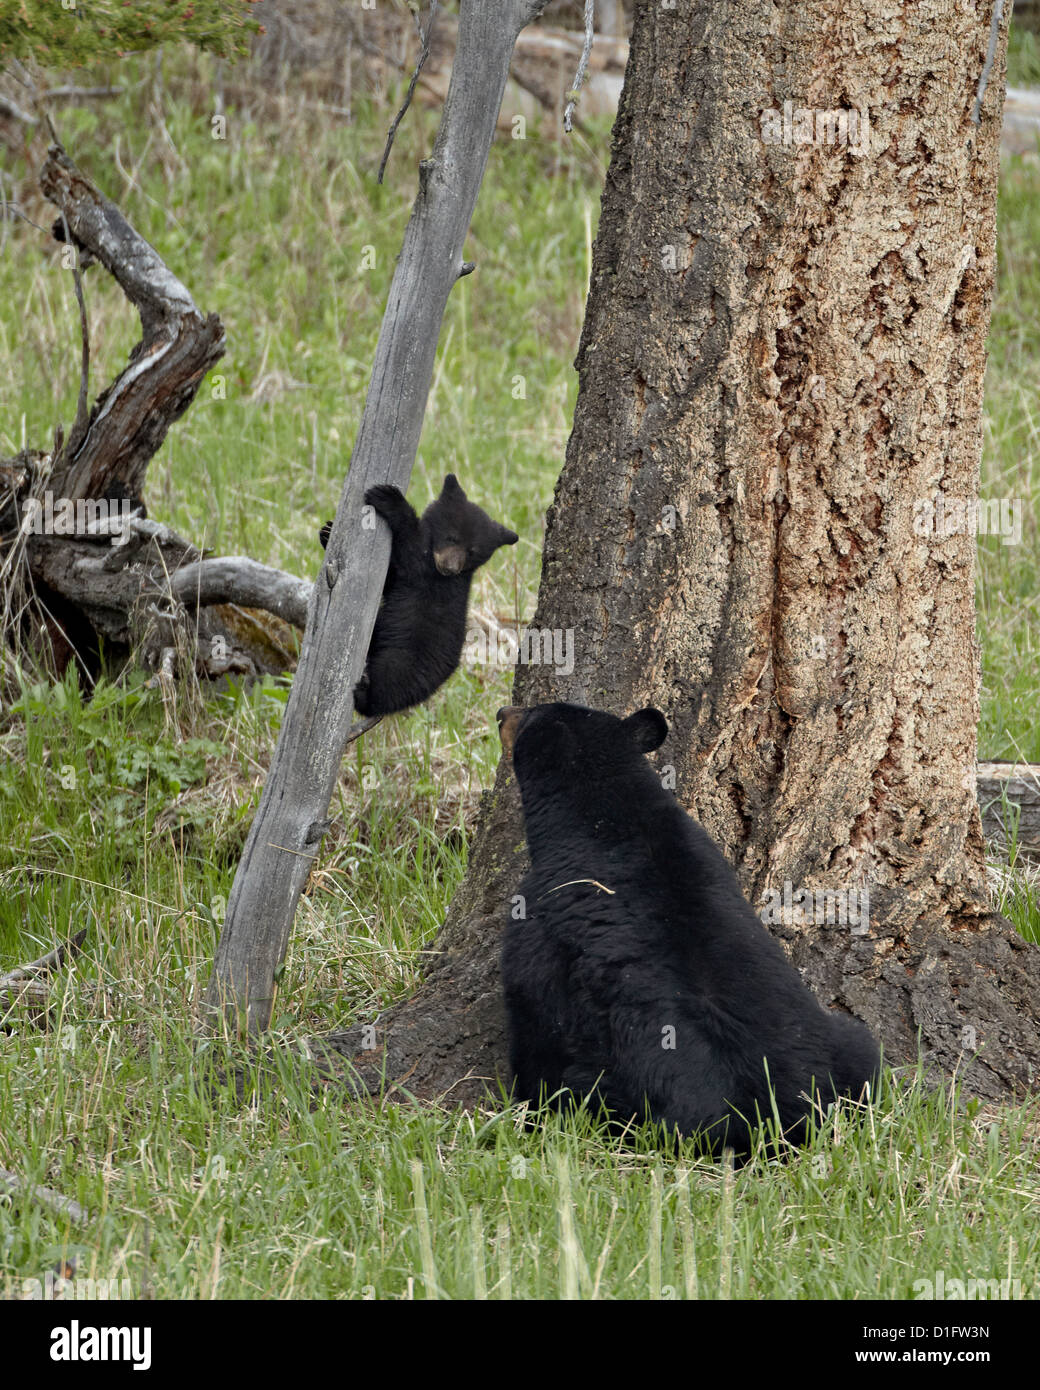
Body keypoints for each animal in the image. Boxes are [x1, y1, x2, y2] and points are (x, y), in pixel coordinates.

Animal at [320, 474, 517, 717]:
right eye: (452, 537)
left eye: (473, 551)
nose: (450, 568)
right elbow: (390, 578)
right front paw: (327, 533)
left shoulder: (425, 572)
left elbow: (410, 550)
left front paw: (389, 498)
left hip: (402, 664)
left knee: (385, 690)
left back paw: (365, 695)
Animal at [497, 701, 880, 1159]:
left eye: (527, 714)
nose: (501, 711)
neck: (603, 818)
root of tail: (785, 1123)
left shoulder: (537, 927)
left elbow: (536, 1026)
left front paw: (525, 1112)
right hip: (847, 1045)